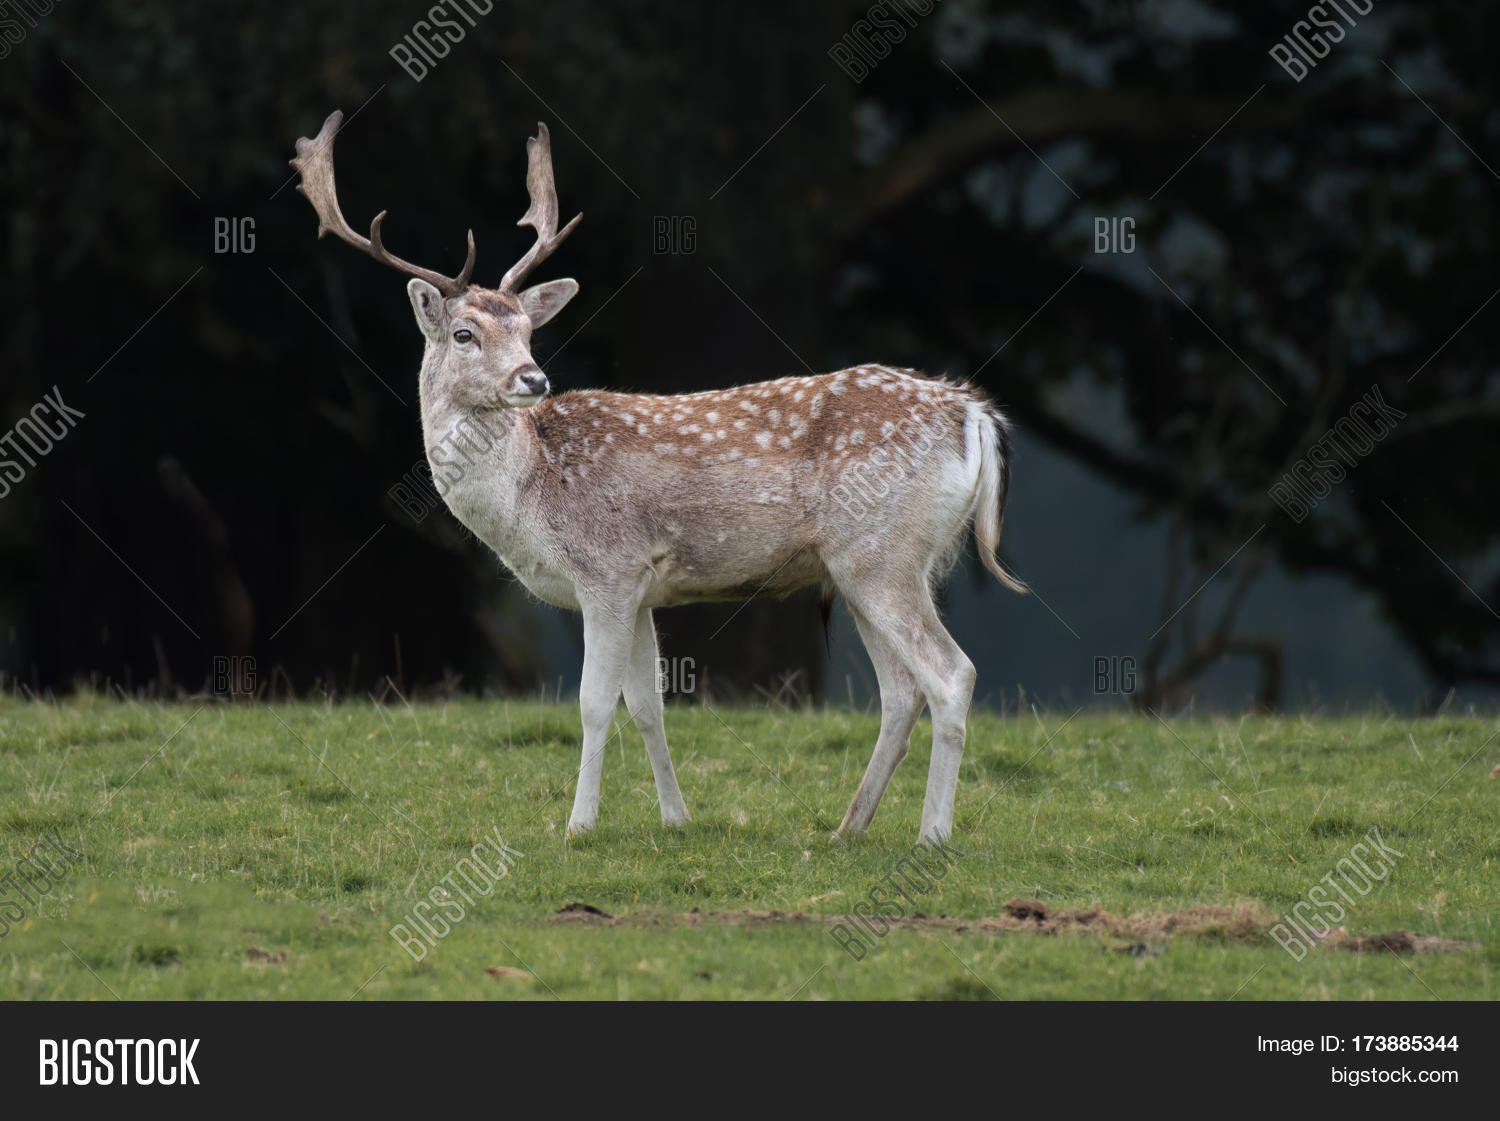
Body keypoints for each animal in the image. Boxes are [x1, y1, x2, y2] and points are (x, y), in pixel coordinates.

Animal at [290, 110, 1027, 844]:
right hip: (865, 564)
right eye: (464, 333)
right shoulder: (642, 589)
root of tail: (973, 413)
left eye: (528, 328)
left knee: (950, 673)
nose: (533, 378)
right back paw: (848, 828)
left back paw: (932, 834)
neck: (529, 494)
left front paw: (578, 825)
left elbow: (594, 702)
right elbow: (648, 704)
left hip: (881, 552)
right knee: (901, 690)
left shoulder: (607, 568)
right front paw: (675, 817)